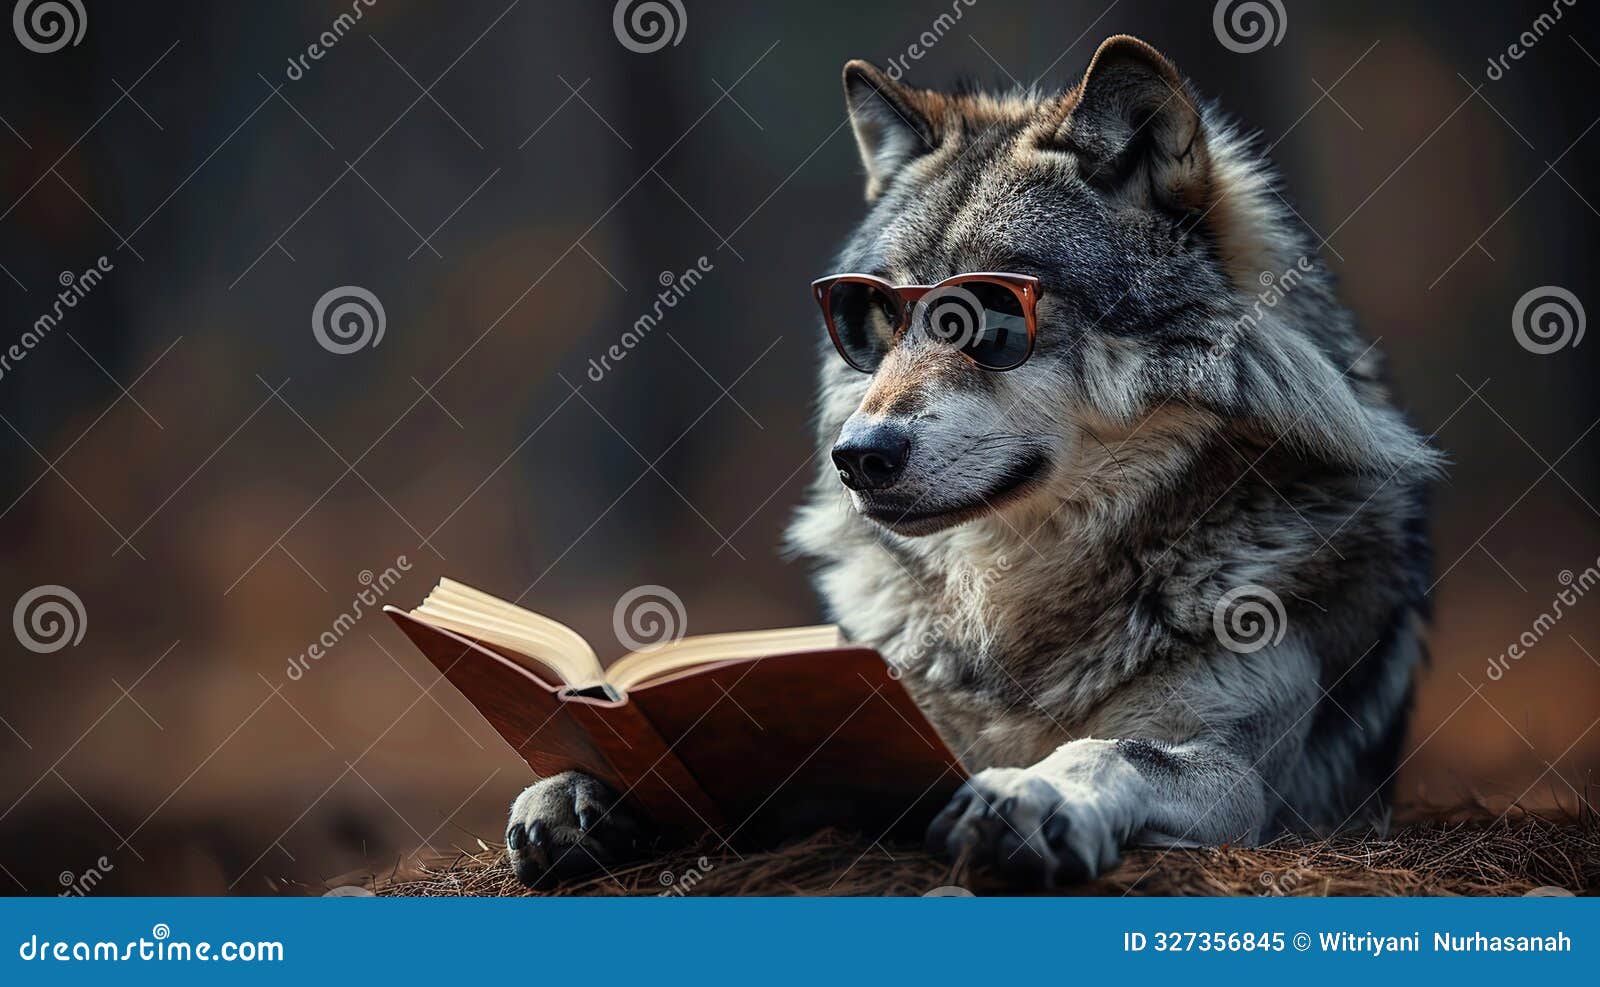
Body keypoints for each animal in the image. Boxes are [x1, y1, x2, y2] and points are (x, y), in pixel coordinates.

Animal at [503, 35, 1440, 889]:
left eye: (991, 313)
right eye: (873, 314)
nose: (857, 457)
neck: (1015, 606)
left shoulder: (1240, 777)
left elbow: (1108, 750)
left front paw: (1030, 795)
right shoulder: (896, 710)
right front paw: (589, 777)